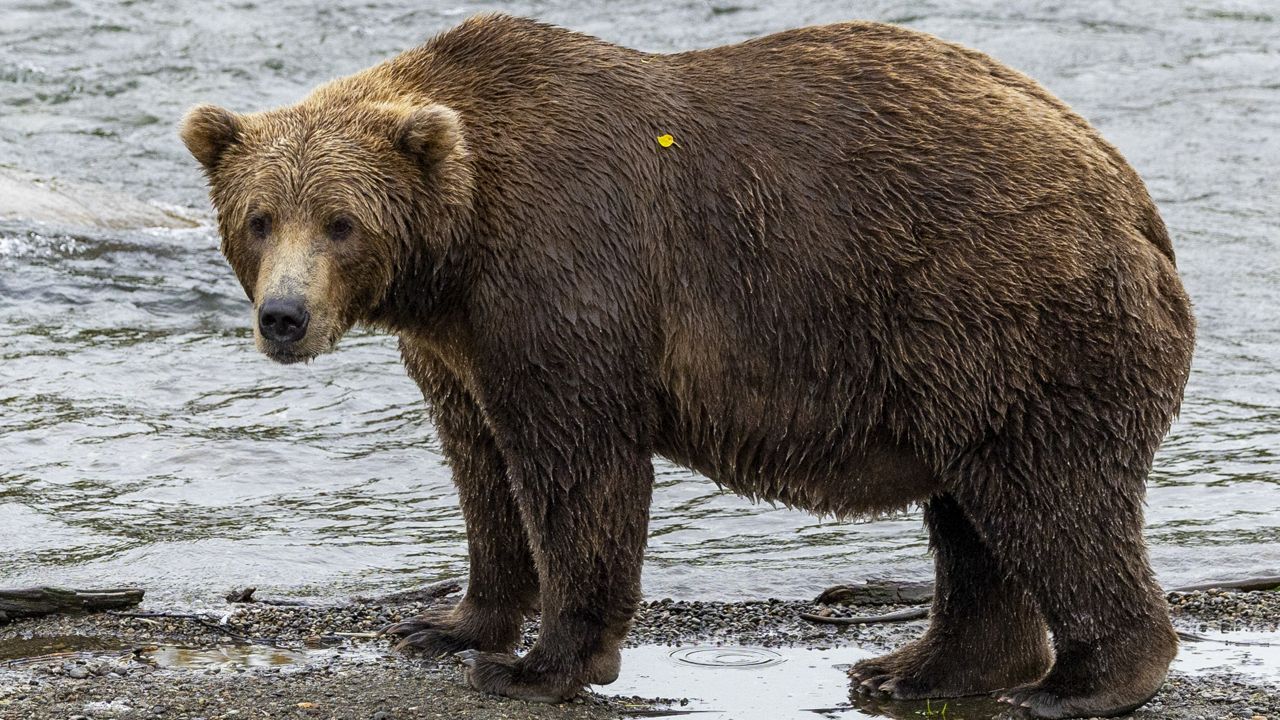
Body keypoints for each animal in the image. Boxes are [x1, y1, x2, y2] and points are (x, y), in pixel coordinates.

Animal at [183, 12, 1198, 717]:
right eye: (260, 217)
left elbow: (577, 468)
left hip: (1005, 312)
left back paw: (1080, 682)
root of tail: (1136, 202)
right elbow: (480, 469)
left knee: (1046, 498)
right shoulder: (456, 344)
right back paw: (916, 668)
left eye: (340, 221)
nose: (284, 317)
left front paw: (538, 665)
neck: (457, 252)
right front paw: (443, 623)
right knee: (975, 513)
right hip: (960, 364)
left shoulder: (568, 277)